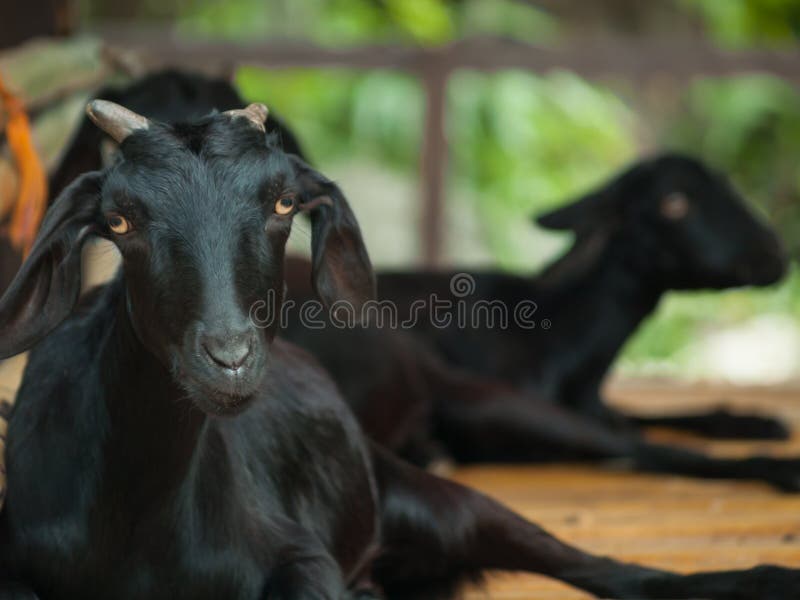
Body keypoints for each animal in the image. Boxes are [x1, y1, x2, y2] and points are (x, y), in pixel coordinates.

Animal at [4, 101, 797, 600]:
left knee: (616, 564)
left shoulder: (303, 555)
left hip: (442, 488)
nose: (229, 358)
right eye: (119, 219)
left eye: (283, 204)